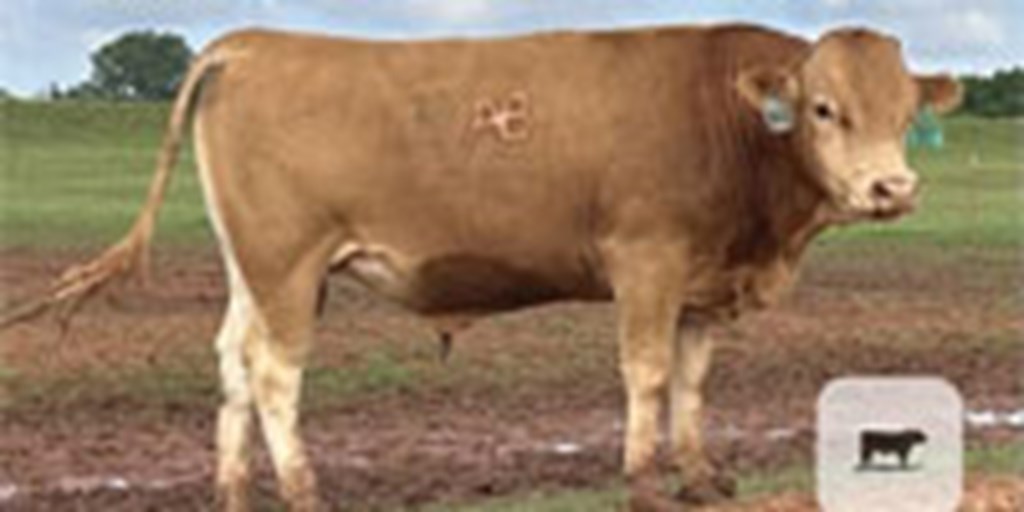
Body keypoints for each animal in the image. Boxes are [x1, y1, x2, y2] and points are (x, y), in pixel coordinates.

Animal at [9, 23, 960, 512]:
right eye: (825, 108)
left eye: (906, 112)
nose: (894, 186)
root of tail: (254, 41)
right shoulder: (647, 261)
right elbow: (648, 374)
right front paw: (645, 482)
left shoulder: (701, 282)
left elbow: (690, 383)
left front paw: (702, 476)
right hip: (288, 266)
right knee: (276, 375)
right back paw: (305, 490)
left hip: (254, 271)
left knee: (234, 367)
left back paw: (236, 491)